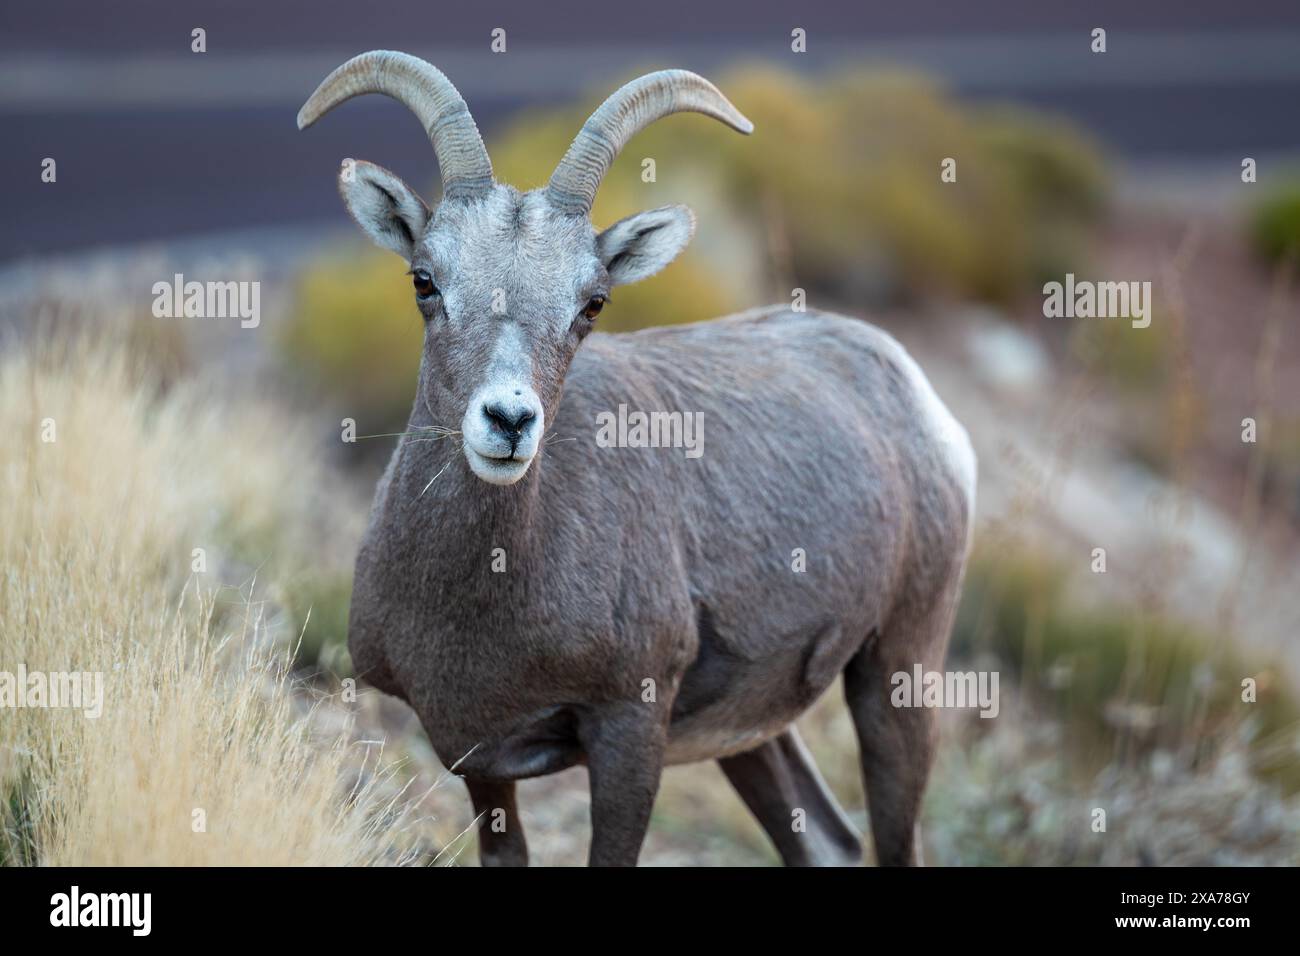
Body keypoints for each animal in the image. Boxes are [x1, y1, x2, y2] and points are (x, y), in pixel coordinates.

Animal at [298, 50, 976, 866]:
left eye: (592, 304)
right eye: (424, 280)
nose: (508, 420)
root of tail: (919, 399)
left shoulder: (628, 731)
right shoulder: (476, 759)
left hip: (898, 673)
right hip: (751, 736)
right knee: (828, 844)